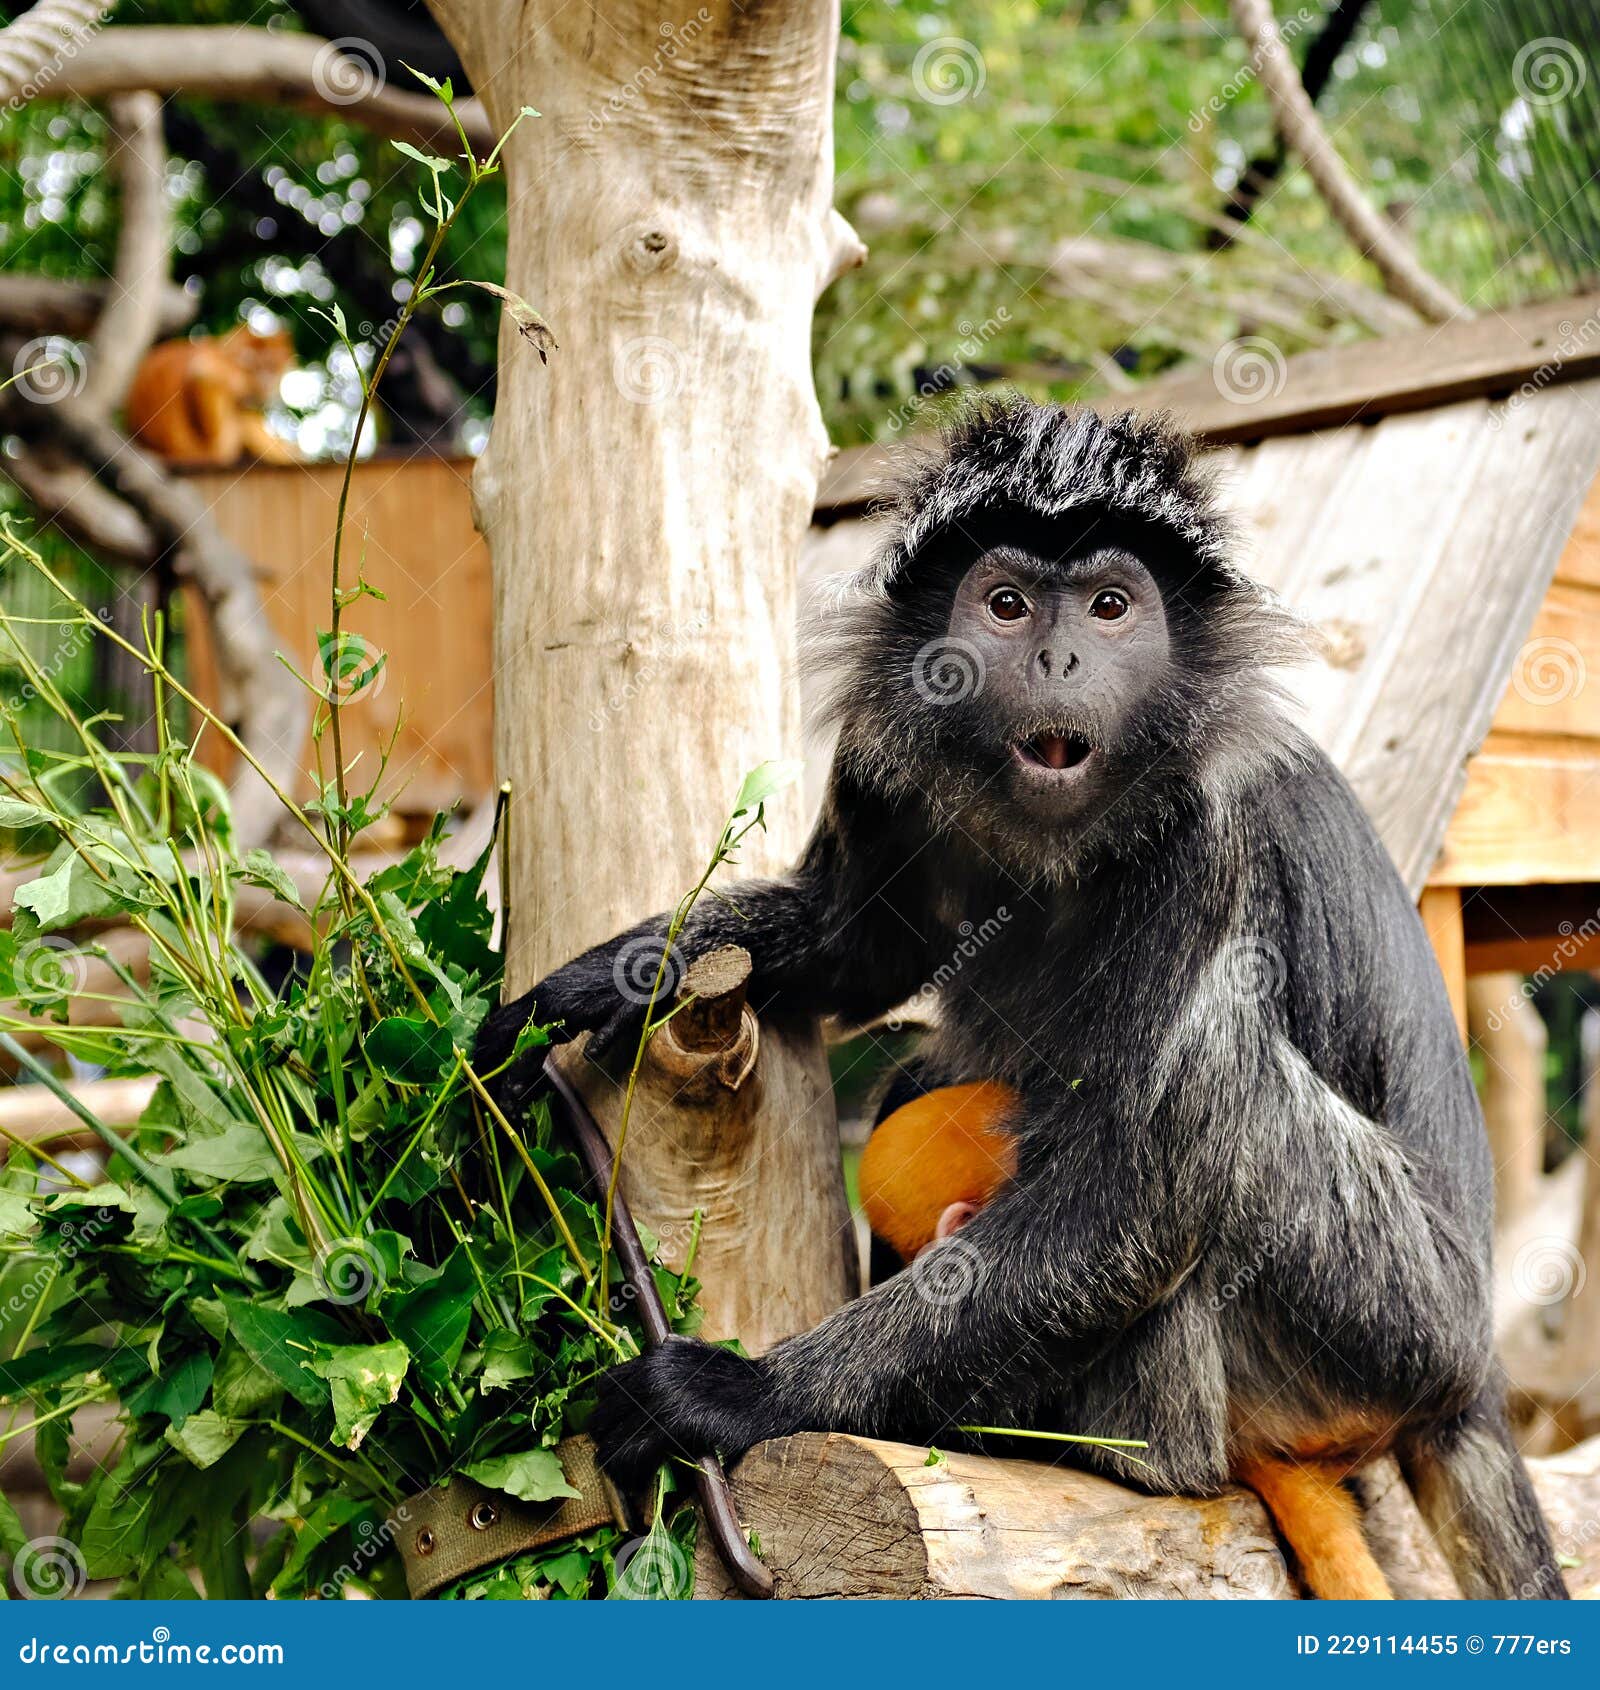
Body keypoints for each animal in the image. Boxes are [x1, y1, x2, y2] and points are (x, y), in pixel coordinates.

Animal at [478, 400, 1567, 1601]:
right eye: (1005, 605)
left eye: (1109, 606)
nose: (1059, 656)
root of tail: (1472, 1378)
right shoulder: (879, 758)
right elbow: (857, 947)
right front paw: (597, 982)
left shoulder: (1213, 832)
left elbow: (1126, 1204)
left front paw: (731, 1399)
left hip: (1383, 1324)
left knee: (1230, 1106)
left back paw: (1121, 1451)